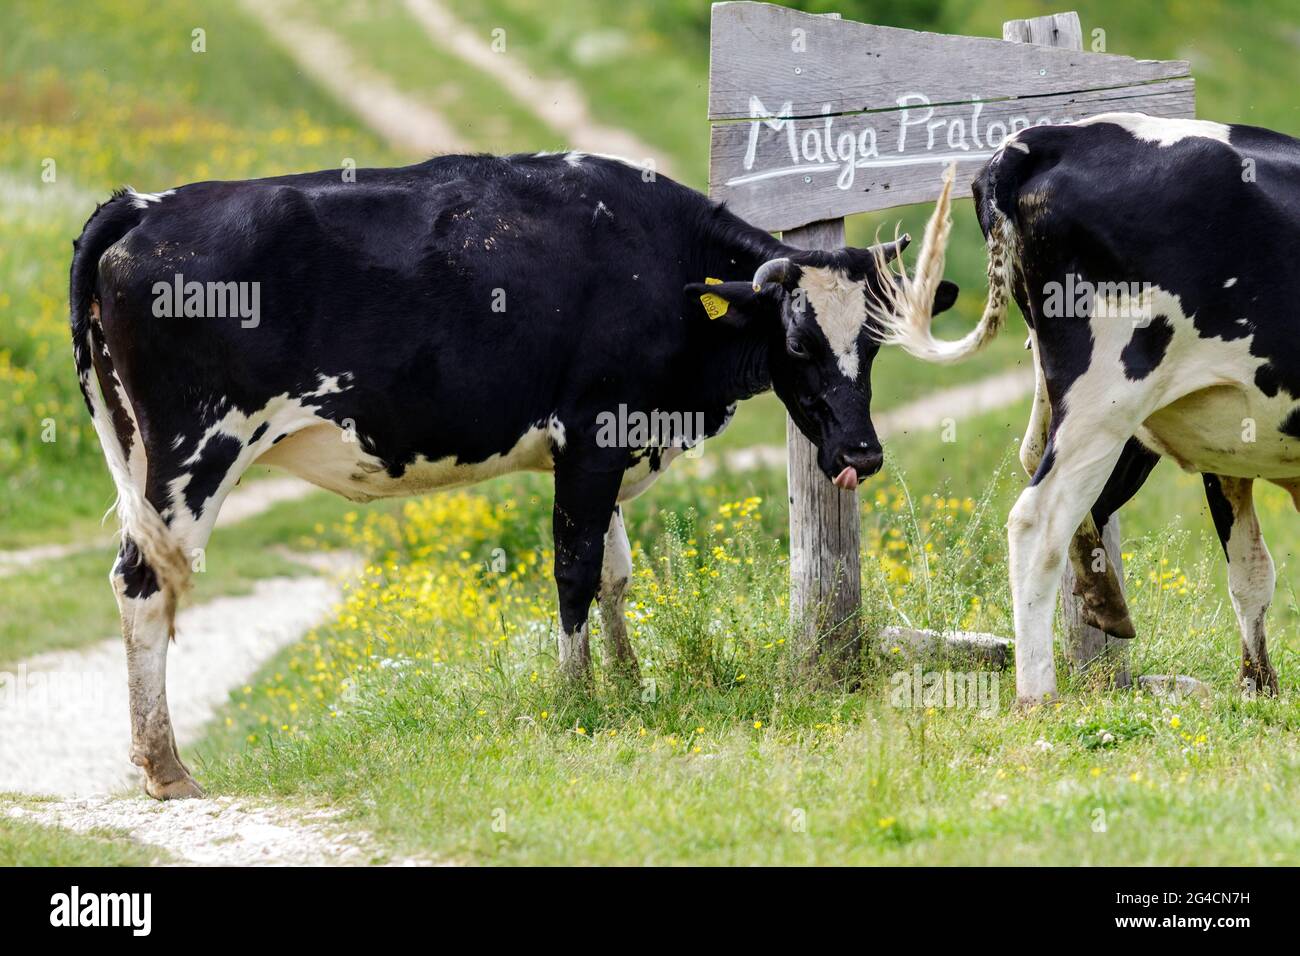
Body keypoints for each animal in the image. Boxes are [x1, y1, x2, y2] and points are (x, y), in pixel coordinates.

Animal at [70, 152, 959, 797]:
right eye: (800, 344)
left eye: (874, 341)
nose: (862, 454)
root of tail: (147, 203)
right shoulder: (593, 435)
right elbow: (573, 570)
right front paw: (577, 698)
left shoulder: (613, 442)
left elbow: (614, 574)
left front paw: (631, 685)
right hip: (197, 449)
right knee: (142, 582)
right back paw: (166, 768)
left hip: (144, 451)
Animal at [871, 111, 1300, 705]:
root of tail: (1038, 141)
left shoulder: (1229, 447)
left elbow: (1251, 569)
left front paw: (1258, 687)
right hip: (1108, 398)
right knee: (1036, 521)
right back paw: (1038, 694)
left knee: (1037, 460)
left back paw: (1103, 598)